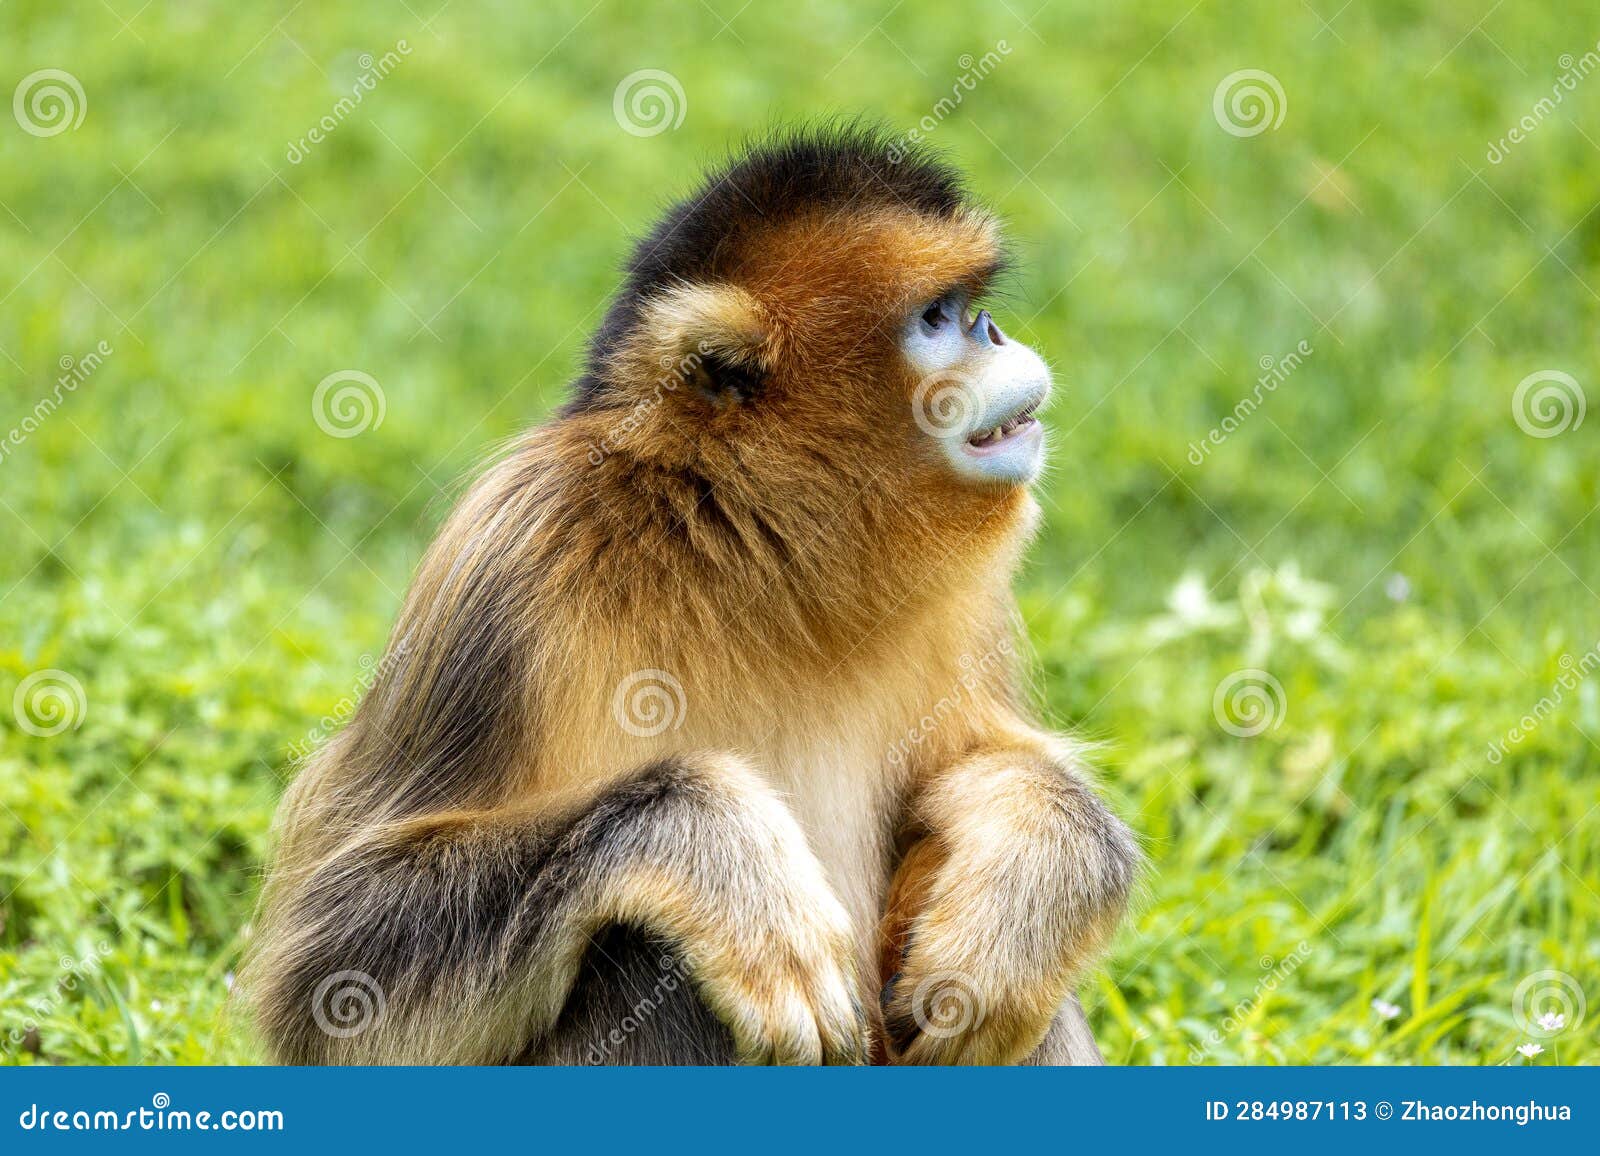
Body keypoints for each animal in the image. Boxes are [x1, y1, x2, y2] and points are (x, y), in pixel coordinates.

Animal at [243, 125, 1140, 1066]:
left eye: (971, 308)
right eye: (938, 318)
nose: (994, 330)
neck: (748, 551)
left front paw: (1036, 864)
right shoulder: (511, 556)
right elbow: (331, 990)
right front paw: (717, 850)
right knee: (641, 948)